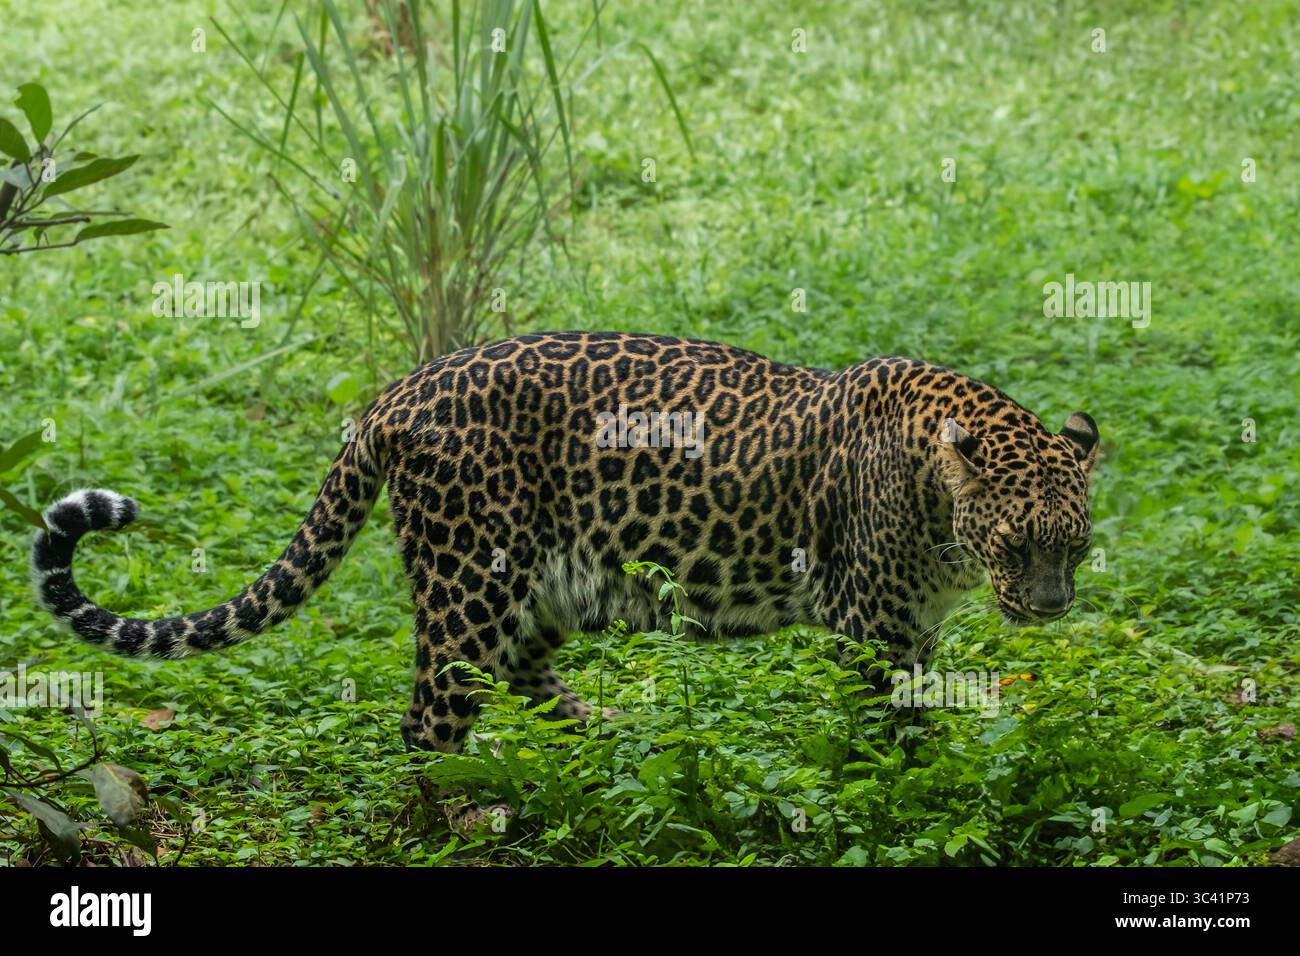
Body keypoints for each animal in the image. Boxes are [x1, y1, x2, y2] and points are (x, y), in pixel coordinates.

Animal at [32, 331, 1099, 758]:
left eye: (1076, 549)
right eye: (1015, 543)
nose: (1049, 608)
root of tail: (397, 393)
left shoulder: (915, 628)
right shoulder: (872, 625)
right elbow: (892, 729)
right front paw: (906, 783)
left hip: (549, 580)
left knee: (522, 673)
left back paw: (606, 742)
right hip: (468, 575)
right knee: (431, 719)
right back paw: (463, 812)